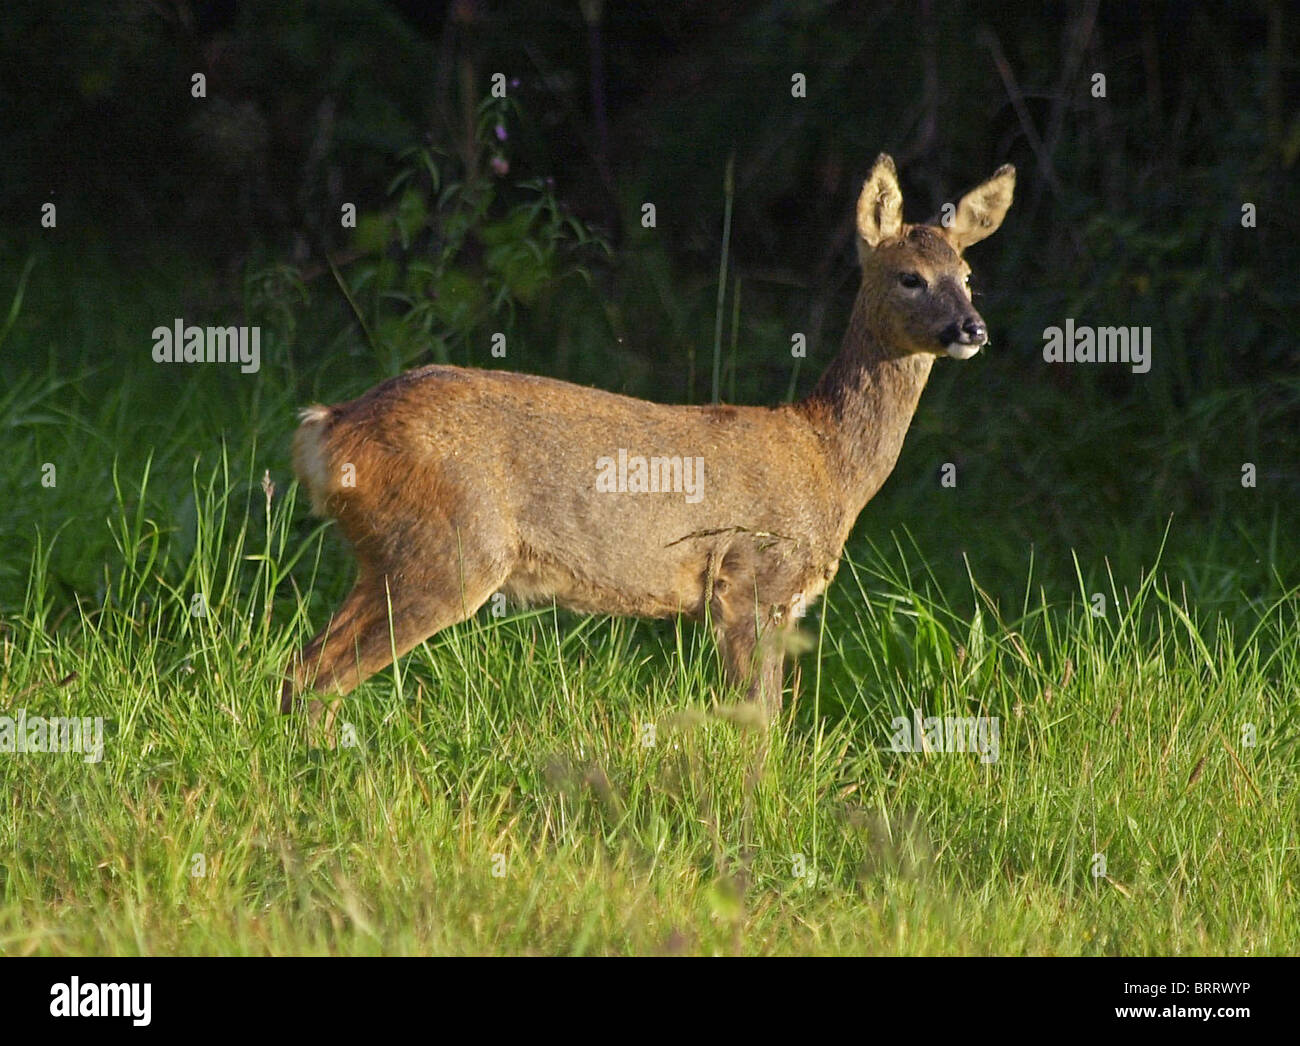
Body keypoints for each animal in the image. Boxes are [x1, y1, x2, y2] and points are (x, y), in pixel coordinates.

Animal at [280, 153, 1014, 725]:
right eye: (910, 277)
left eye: (967, 278)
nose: (972, 328)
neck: (829, 457)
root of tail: (330, 430)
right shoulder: (752, 579)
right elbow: (760, 721)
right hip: (448, 549)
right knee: (315, 676)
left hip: (387, 556)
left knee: (300, 668)